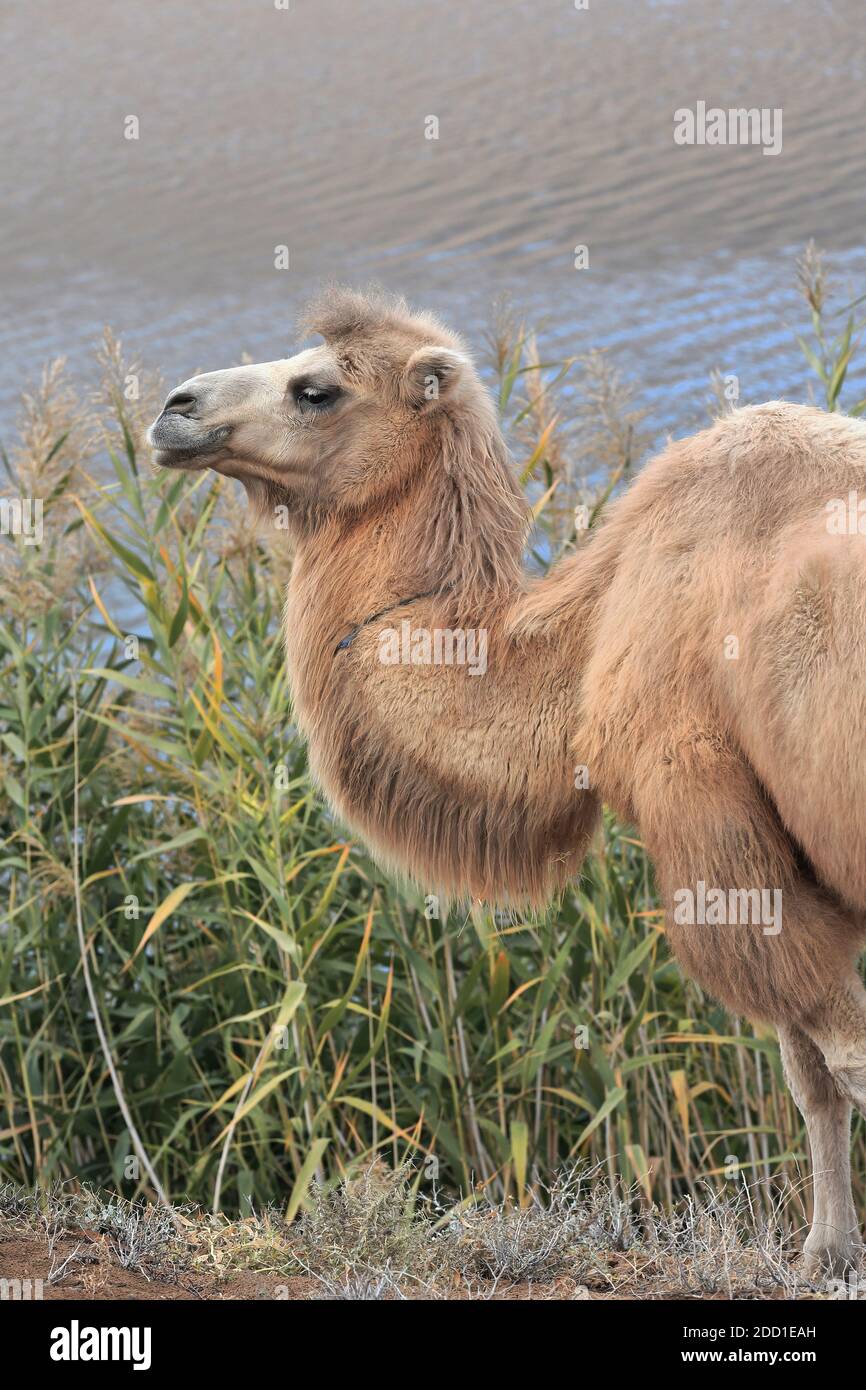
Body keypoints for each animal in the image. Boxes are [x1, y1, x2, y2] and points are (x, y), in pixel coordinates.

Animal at [148, 287, 866, 1279]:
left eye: (315, 389)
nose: (174, 408)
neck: (589, 634)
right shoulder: (796, 857)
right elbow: (814, 1076)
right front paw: (824, 1257)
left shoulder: (709, 815)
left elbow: (843, 1057)